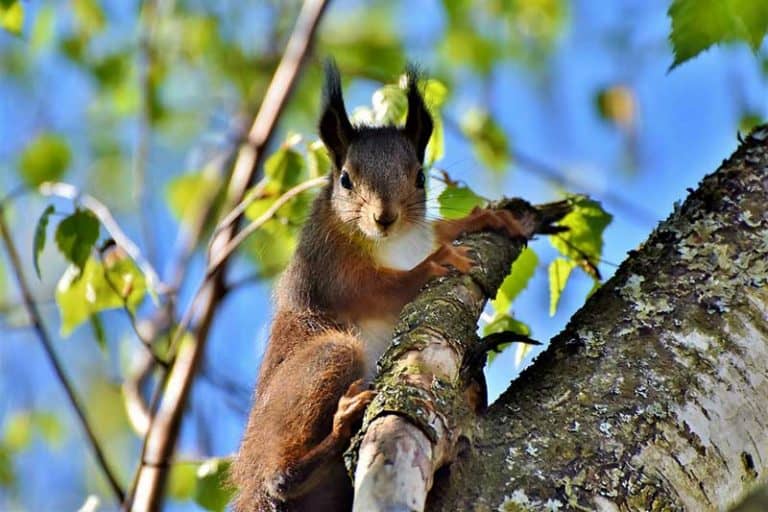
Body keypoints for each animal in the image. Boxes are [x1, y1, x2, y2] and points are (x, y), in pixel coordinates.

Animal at [230, 61, 533, 511]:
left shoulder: (418, 233)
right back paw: (340, 424)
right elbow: (379, 288)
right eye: (345, 180)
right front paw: (433, 265)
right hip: (325, 361)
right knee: (279, 477)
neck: (394, 243)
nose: (383, 217)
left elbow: (442, 229)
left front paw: (484, 218)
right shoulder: (329, 268)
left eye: (421, 177)